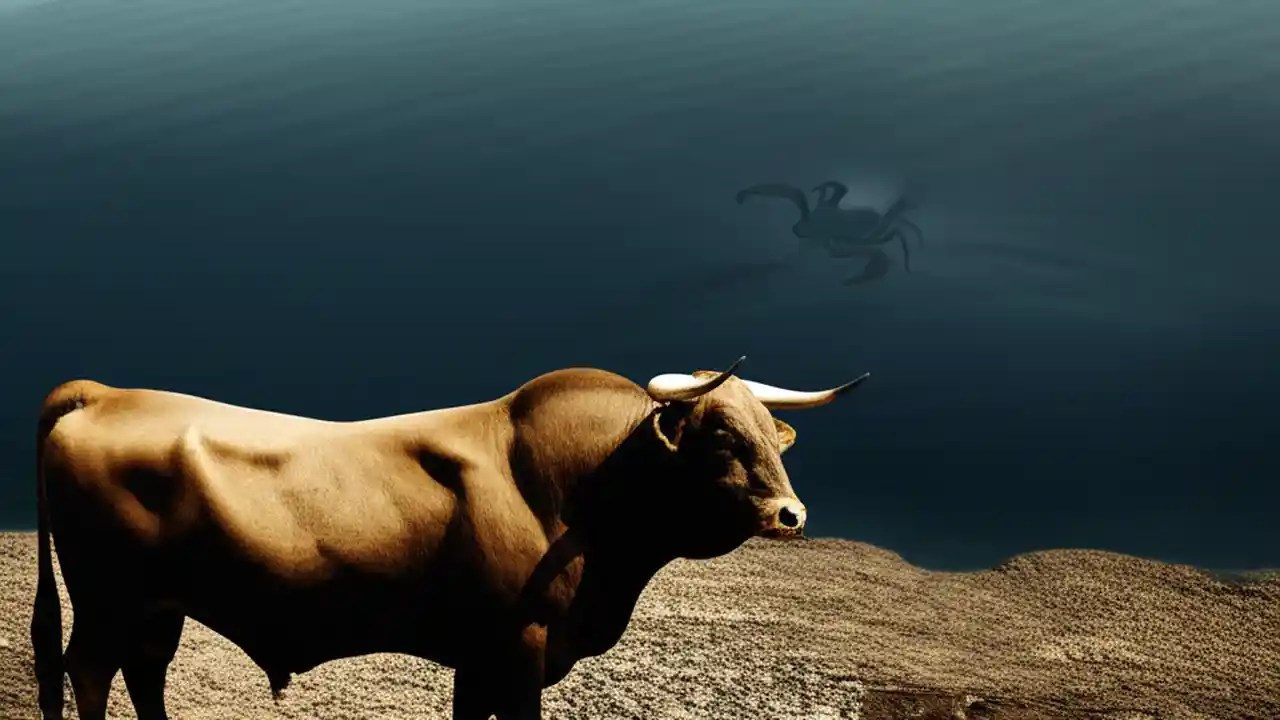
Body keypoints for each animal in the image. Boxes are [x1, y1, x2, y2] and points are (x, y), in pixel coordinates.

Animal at [31, 357, 869, 720]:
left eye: (771, 434)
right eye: (721, 436)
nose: (791, 514)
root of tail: (106, 393)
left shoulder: (479, 651)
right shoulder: (522, 642)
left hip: (158, 606)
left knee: (144, 674)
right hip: (108, 598)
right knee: (90, 673)